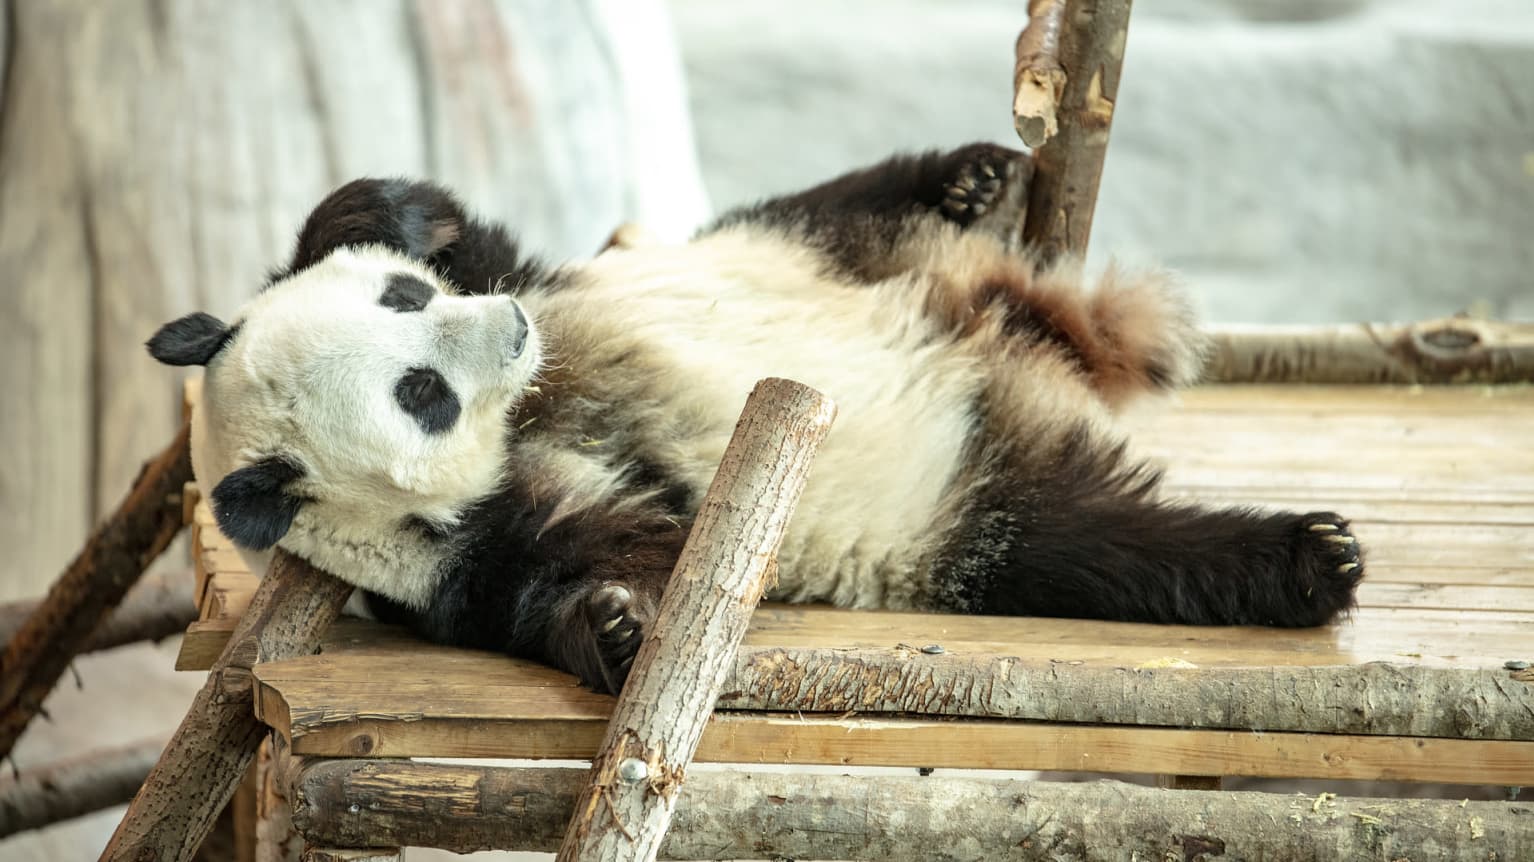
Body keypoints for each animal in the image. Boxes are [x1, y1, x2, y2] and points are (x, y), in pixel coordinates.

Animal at [148, 142, 1365, 693]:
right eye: (420, 395)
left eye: (408, 303)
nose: (507, 332)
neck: (528, 418)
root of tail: (1005, 329)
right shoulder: (463, 550)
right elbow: (552, 585)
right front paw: (616, 626)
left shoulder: (547, 275)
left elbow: (420, 216)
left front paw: (389, 221)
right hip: (957, 516)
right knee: (1100, 547)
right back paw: (1308, 559)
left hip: (802, 246)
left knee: (840, 200)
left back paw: (973, 178)